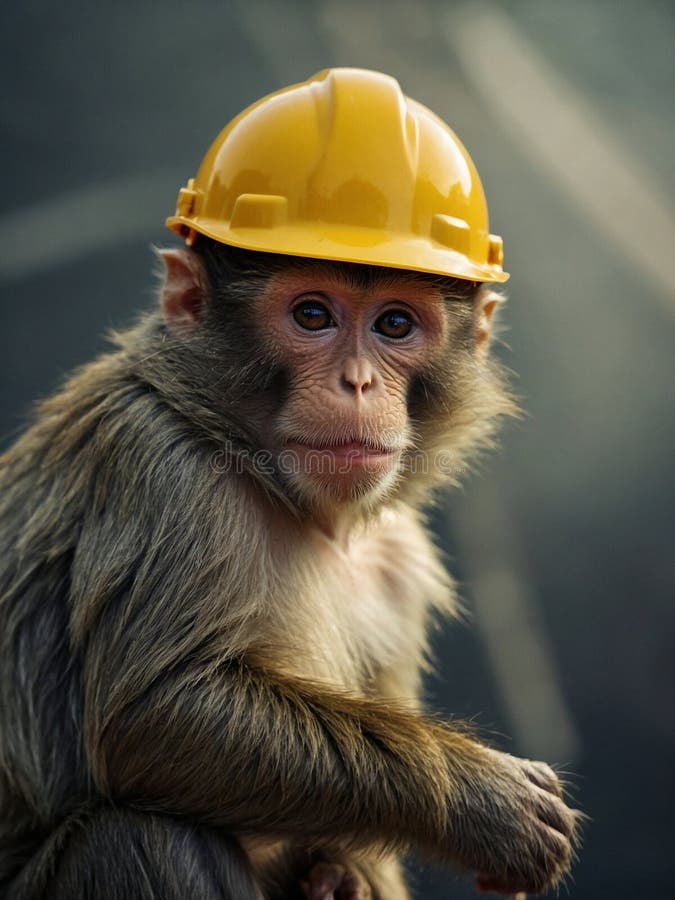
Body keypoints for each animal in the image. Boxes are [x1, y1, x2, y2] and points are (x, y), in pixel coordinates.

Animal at [0, 234, 580, 900]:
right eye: (312, 315)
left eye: (395, 324)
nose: (357, 382)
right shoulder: (160, 466)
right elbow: (149, 717)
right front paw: (480, 801)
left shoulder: (398, 564)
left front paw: (344, 879)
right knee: (139, 836)